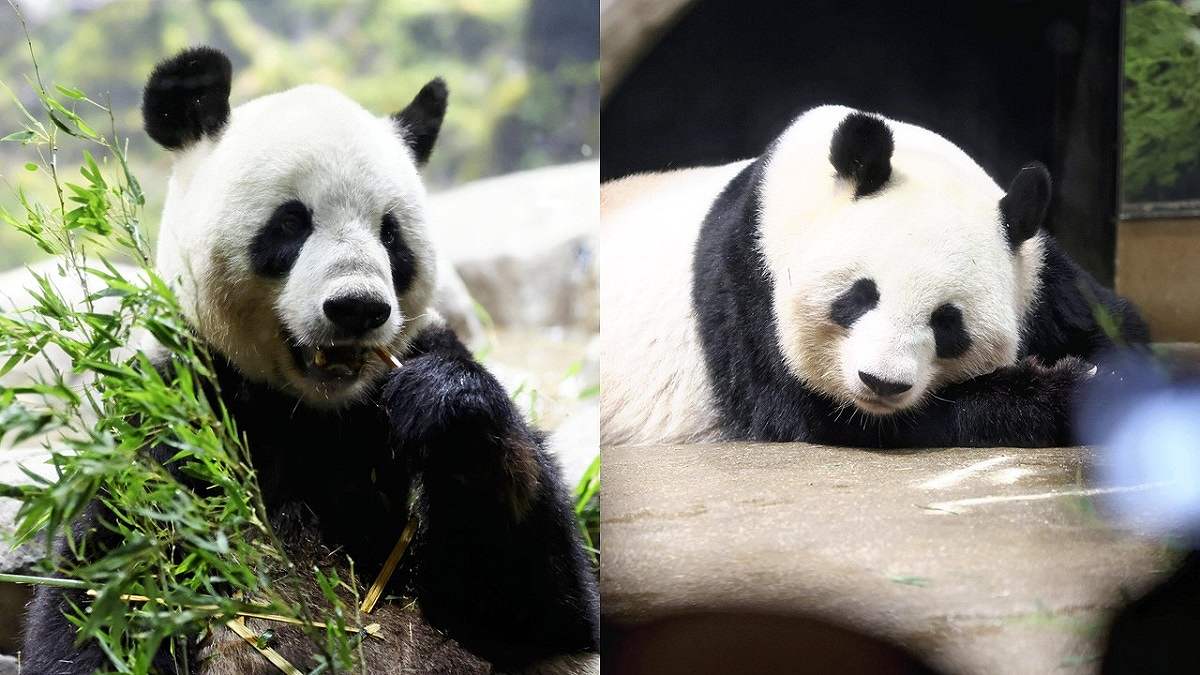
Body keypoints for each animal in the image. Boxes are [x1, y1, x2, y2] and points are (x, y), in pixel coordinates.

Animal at [23, 47, 599, 674]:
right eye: (291, 222)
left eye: (391, 235)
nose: (357, 307)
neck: (313, 411)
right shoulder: (176, 412)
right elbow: (101, 594)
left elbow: (538, 605)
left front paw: (445, 404)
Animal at [600, 105, 1149, 448]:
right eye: (858, 296)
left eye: (947, 323)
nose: (881, 383)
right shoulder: (750, 283)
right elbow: (817, 416)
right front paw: (1063, 392)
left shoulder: (1033, 273)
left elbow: (1111, 323)